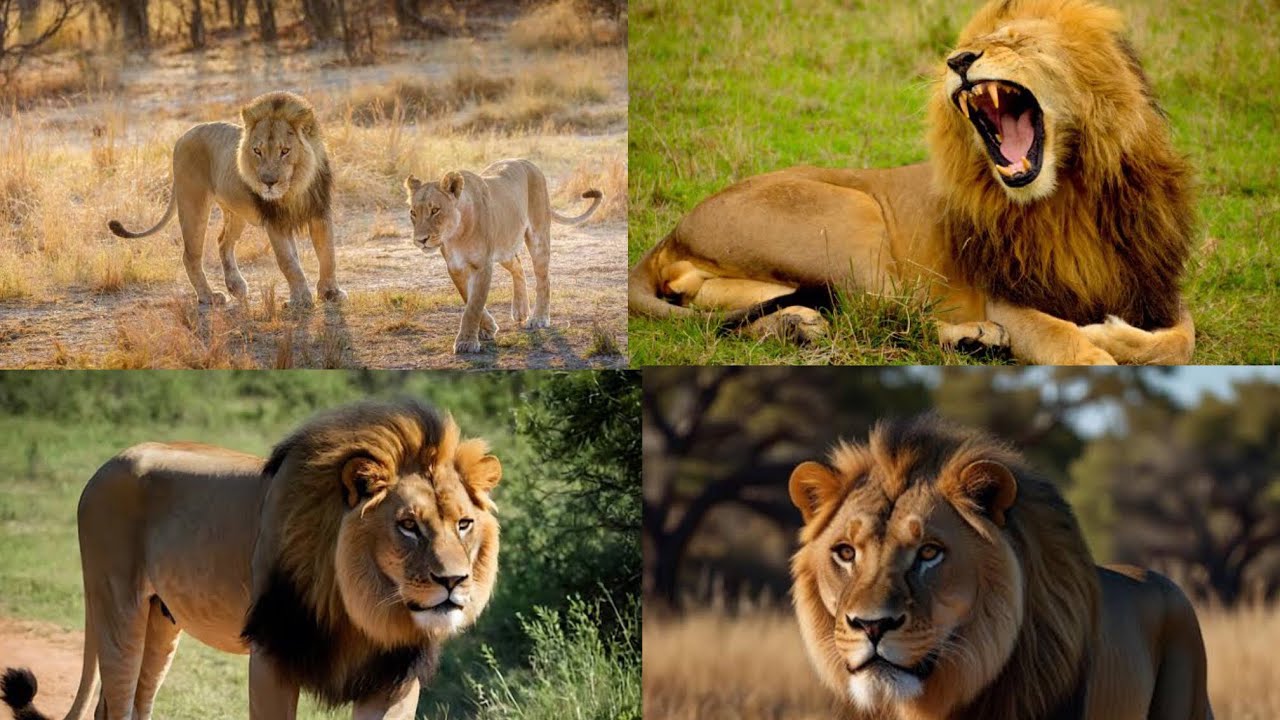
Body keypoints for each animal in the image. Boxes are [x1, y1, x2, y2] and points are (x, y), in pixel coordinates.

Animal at [1, 399, 500, 720]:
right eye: (408, 525)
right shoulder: (271, 654)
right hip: (117, 607)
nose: (453, 581)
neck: (362, 609)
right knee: (119, 702)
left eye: (463, 524)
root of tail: (105, 465)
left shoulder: (394, 675)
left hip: (160, 621)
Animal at [107, 91, 347, 309]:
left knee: (223, 241)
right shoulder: (275, 221)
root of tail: (183, 136)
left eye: (285, 151)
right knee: (190, 255)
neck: (294, 188)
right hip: (193, 203)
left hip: (235, 213)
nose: (267, 182)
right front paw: (301, 298)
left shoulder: (320, 212)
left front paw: (331, 293)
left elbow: (328, 255)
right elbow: (288, 262)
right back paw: (209, 296)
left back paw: (236, 286)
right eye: (257, 151)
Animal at [404, 158, 602, 353]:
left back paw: (539, 318)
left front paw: (466, 342)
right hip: (504, 247)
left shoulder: (483, 265)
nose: (421, 240)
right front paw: (488, 328)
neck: (456, 235)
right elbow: (468, 298)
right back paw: (521, 310)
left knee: (543, 279)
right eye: (413, 213)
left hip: (537, 236)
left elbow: (474, 305)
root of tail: (528, 162)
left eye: (435, 210)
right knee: (518, 265)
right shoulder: (455, 267)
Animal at [629, 0, 1196, 365]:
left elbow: (1181, 338)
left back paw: (797, 325)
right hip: (852, 215)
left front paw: (1113, 332)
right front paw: (1095, 345)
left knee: (717, 303)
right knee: (884, 313)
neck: (1071, 193)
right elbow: (1064, 341)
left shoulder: (1154, 285)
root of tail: (673, 231)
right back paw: (974, 337)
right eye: (966, 46)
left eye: (1016, 42)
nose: (959, 61)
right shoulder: (1006, 296)